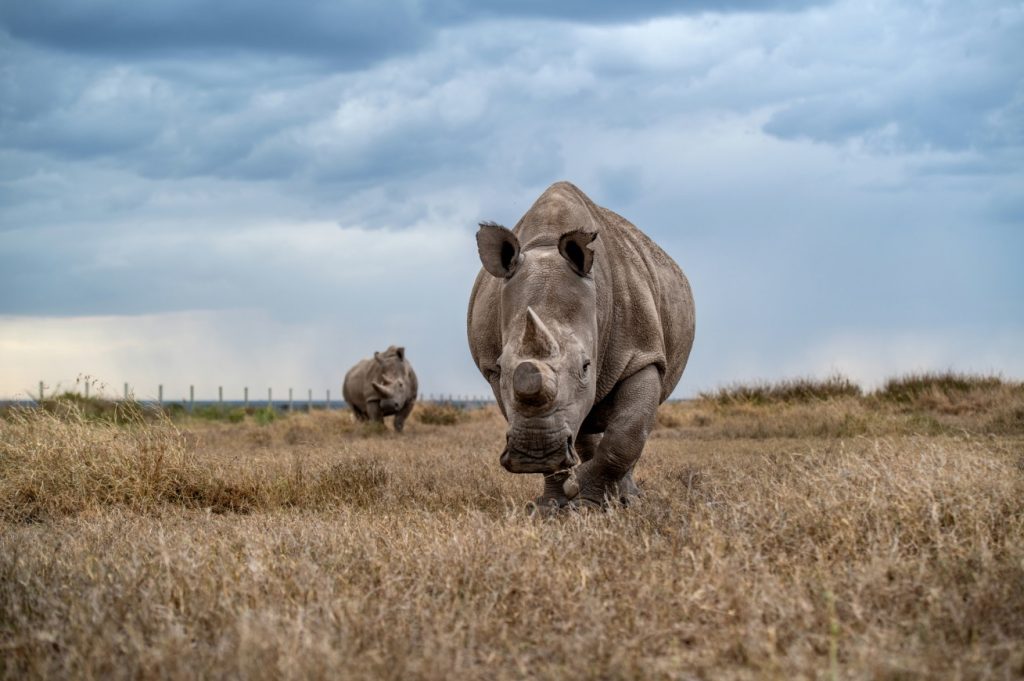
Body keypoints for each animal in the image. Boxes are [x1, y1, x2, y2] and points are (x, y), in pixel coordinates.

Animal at [467, 181, 695, 509]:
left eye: (586, 366)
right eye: (501, 366)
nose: (535, 452)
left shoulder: (643, 353)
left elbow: (628, 432)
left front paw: (585, 499)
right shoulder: (493, 373)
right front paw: (554, 507)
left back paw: (625, 499)